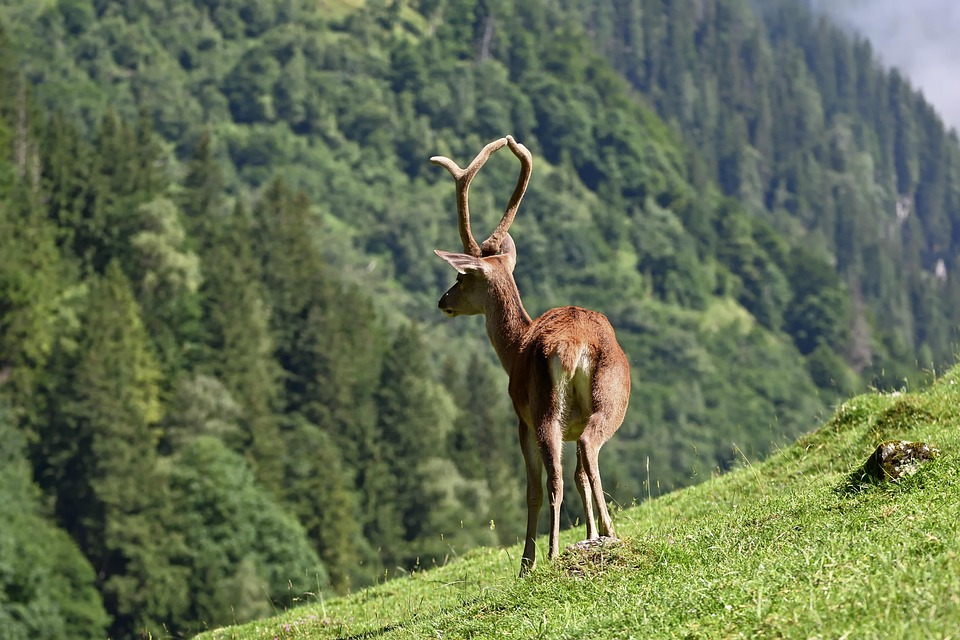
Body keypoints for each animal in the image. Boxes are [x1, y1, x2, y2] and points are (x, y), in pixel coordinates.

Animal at [431, 135, 631, 575]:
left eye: (460, 276)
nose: (442, 302)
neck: (514, 347)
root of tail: (575, 346)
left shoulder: (518, 417)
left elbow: (533, 489)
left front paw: (528, 561)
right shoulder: (573, 423)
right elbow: (579, 477)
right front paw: (589, 533)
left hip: (542, 408)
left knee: (553, 478)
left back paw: (553, 552)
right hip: (612, 395)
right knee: (588, 451)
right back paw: (607, 532)